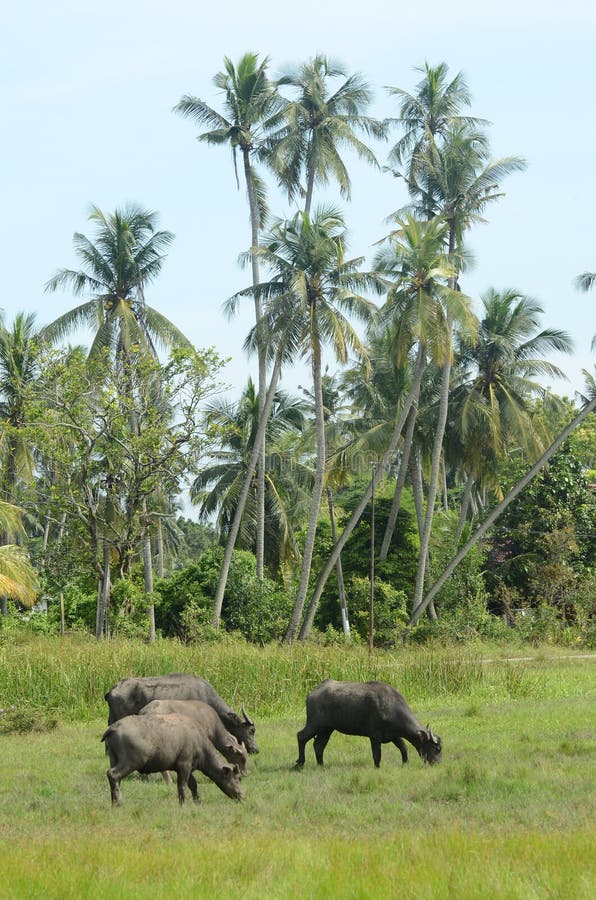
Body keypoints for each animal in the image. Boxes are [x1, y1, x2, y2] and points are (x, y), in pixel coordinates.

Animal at [296, 679, 442, 768]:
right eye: (437, 749)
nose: (438, 763)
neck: (390, 706)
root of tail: (314, 691)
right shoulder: (374, 736)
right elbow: (377, 754)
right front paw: (377, 767)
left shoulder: (394, 735)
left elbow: (403, 747)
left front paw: (405, 763)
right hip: (315, 724)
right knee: (301, 736)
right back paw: (300, 762)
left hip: (327, 729)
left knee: (318, 745)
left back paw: (321, 764)